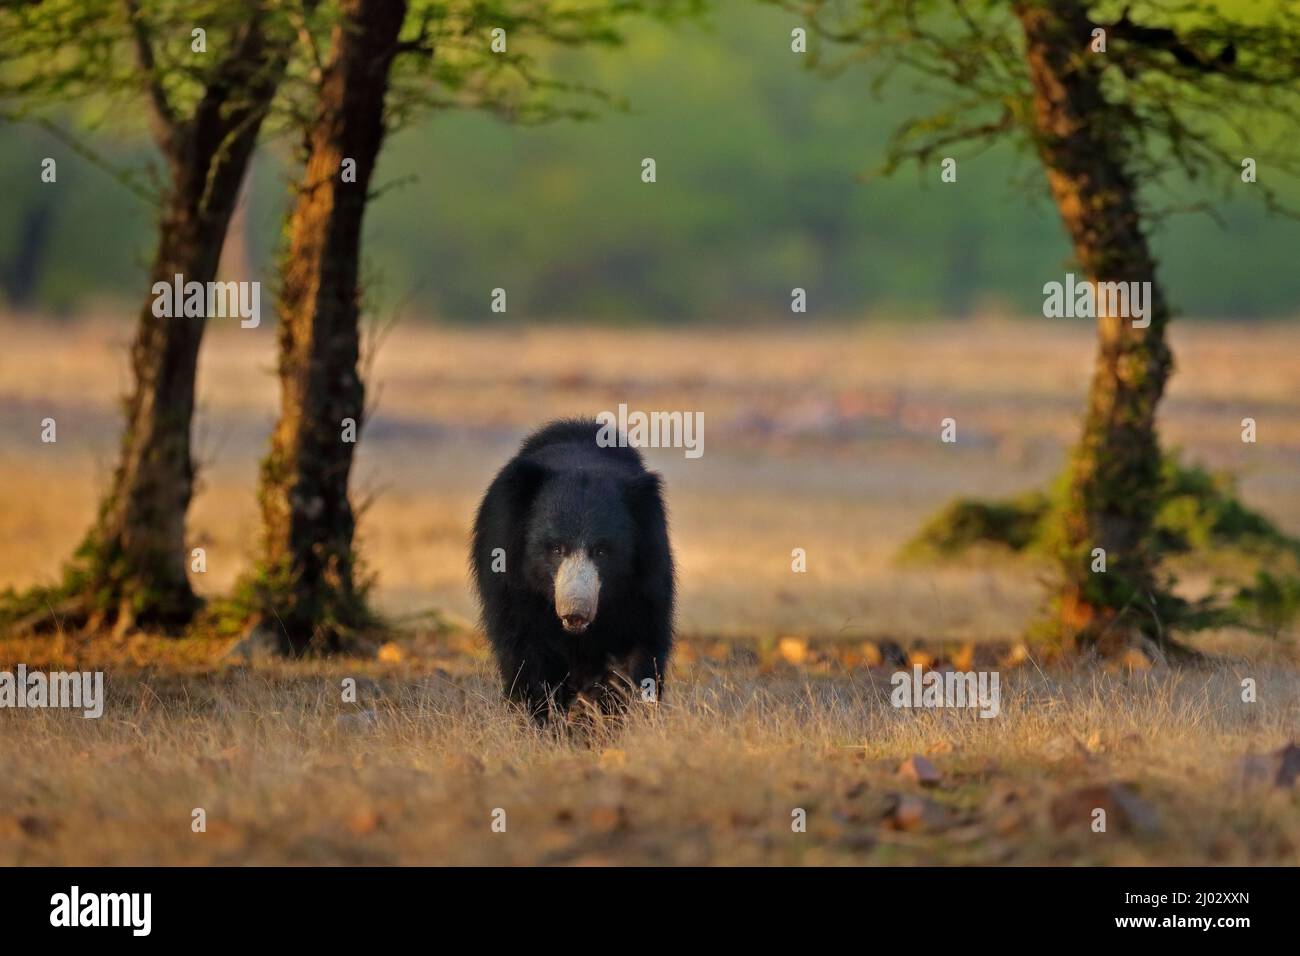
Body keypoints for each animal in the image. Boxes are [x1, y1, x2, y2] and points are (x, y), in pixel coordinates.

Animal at [471, 418, 675, 724]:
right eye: (556, 548)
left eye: (602, 551)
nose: (575, 612)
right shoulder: (512, 580)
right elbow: (526, 649)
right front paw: (542, 719)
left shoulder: (645, 579)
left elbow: (637, 646)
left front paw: (604, 715)